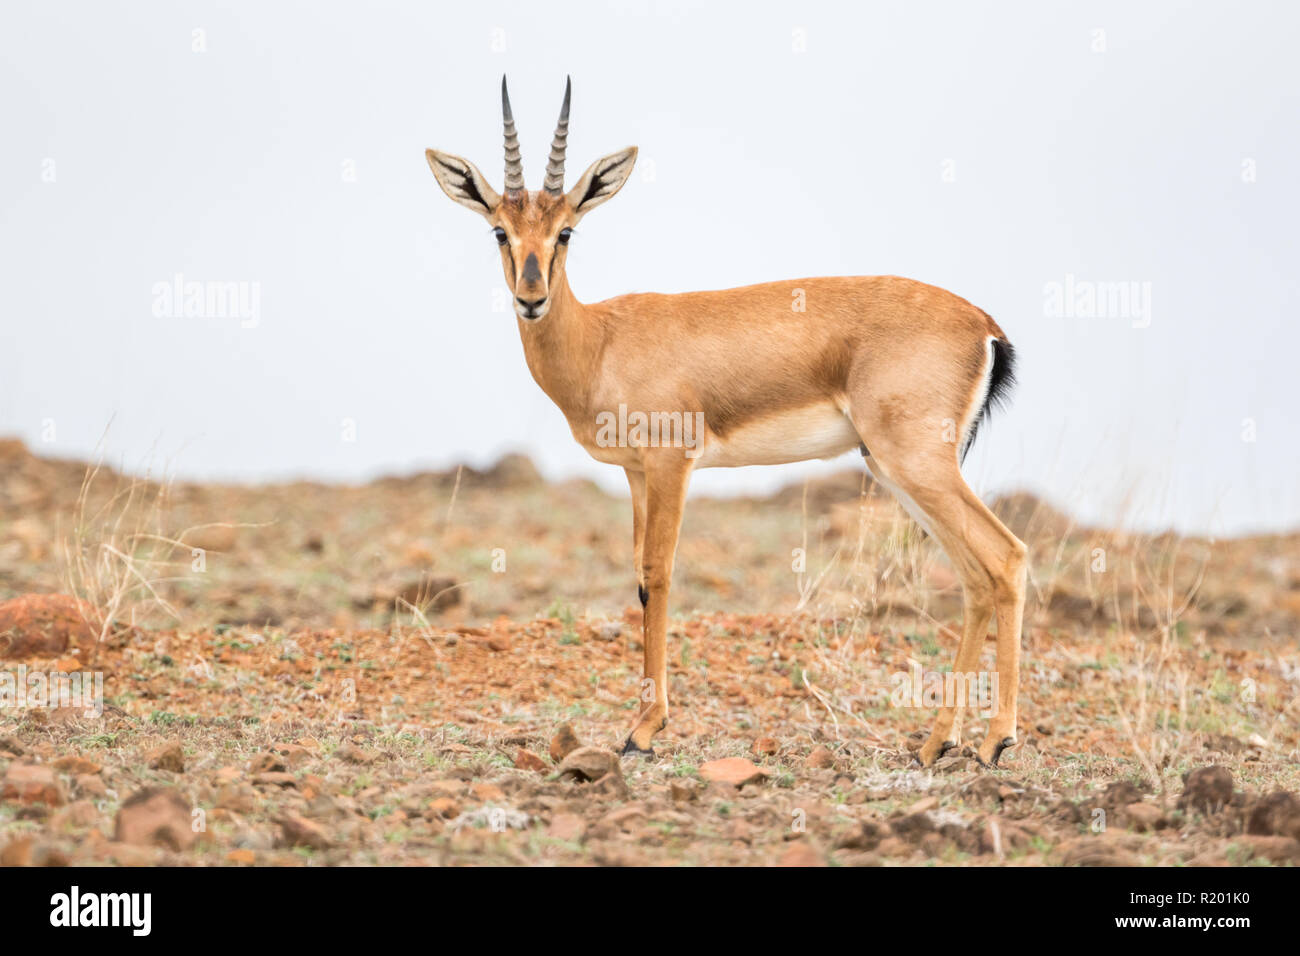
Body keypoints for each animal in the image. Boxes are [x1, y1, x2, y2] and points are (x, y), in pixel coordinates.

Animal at [425, 77, 1027, 769]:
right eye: (499, 231)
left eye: (566, 231)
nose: (531, 298)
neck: (601, 340)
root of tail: (985, 325)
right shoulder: (636, 474)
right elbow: (639, 578)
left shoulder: (671, 463)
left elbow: (658, 576)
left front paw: (642, 731)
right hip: (894, 469)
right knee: (975, 576)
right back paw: (936, 743)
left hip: (916, 463)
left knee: (1007, 557)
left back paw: (995, 740)